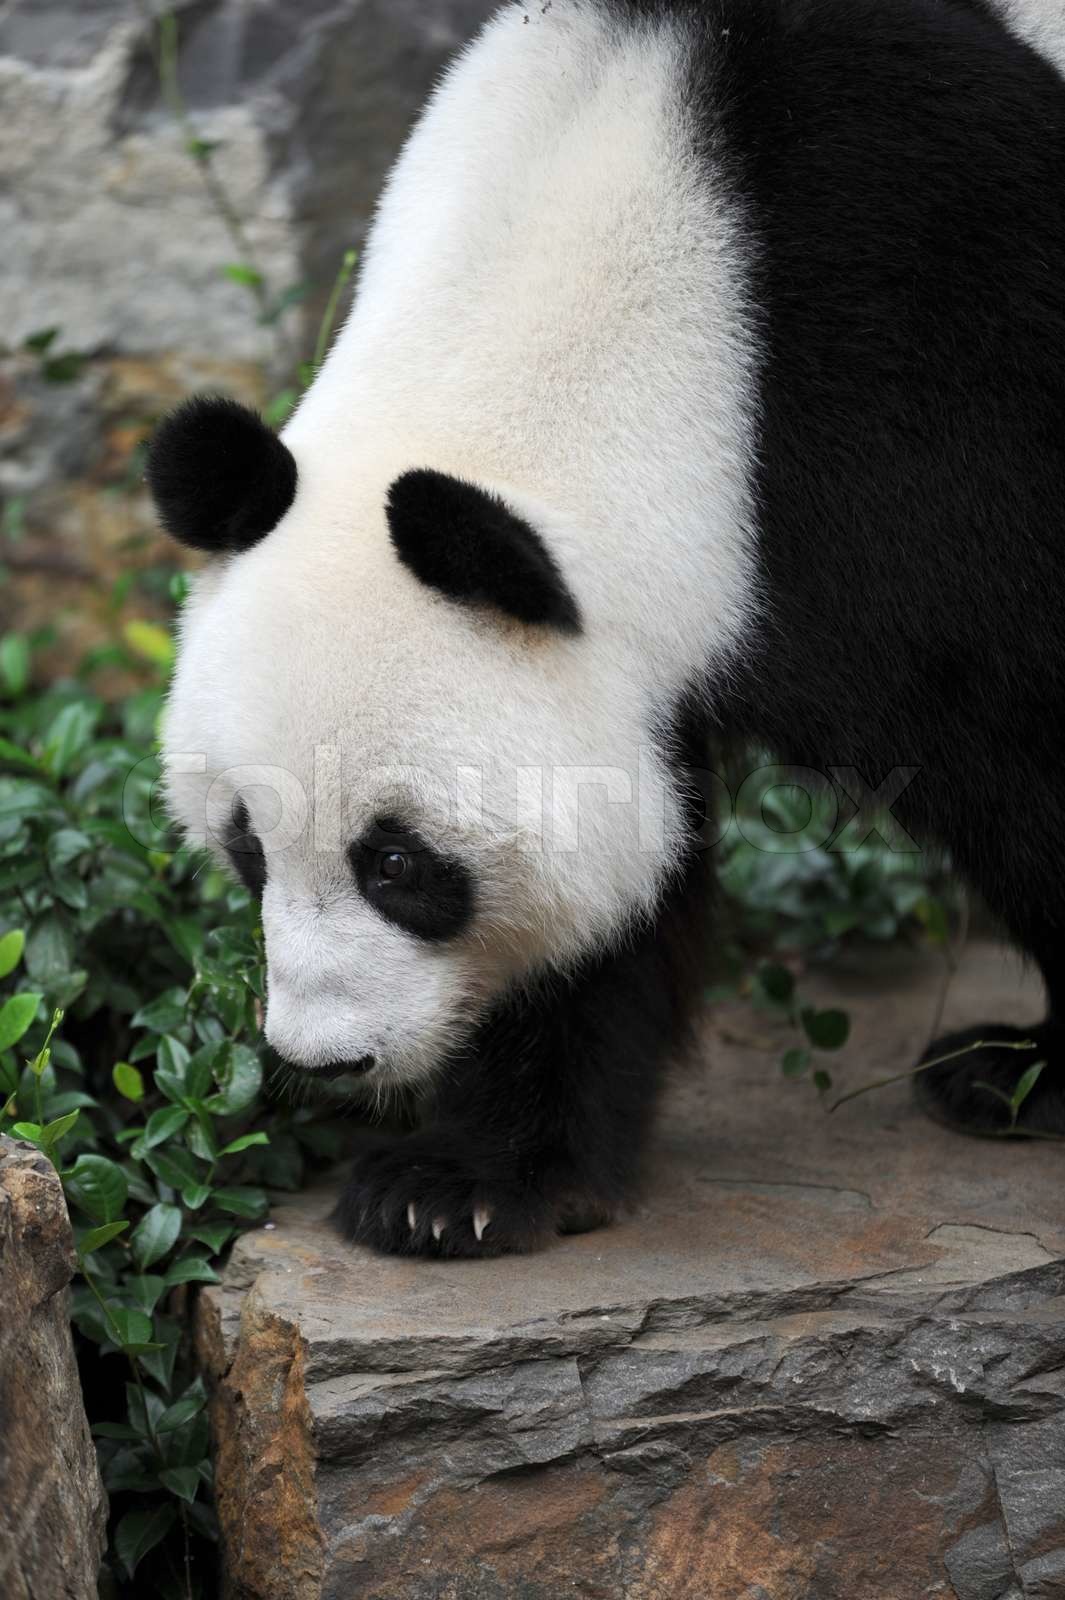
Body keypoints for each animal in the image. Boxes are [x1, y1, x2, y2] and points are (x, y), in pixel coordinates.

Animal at [148, 0, 1065, 1257]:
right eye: (245, 845)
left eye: (400, 863)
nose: (323, 1059)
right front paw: (461, 1183)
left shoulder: (945, 385)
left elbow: (1024, 747)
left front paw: (1036, 1073)